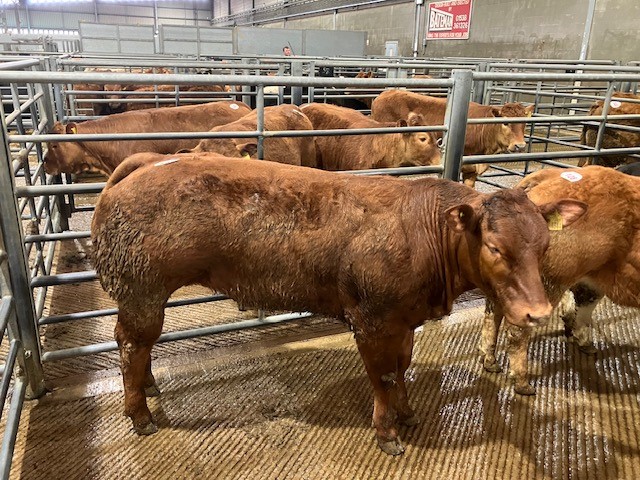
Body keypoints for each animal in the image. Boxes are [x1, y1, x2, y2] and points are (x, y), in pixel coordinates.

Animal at [91, 151, 585, 455]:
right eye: (496, 248)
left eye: (544, 245)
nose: (538, 312)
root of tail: (152, 160)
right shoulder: (370, 319)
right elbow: (383, 375)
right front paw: (388, 432)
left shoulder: (403, 319)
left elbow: (402, 367)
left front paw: (408, 414)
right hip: (141, 291)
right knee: (132, 346)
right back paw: (140, 414)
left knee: (139, 348)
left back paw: (151, 388)